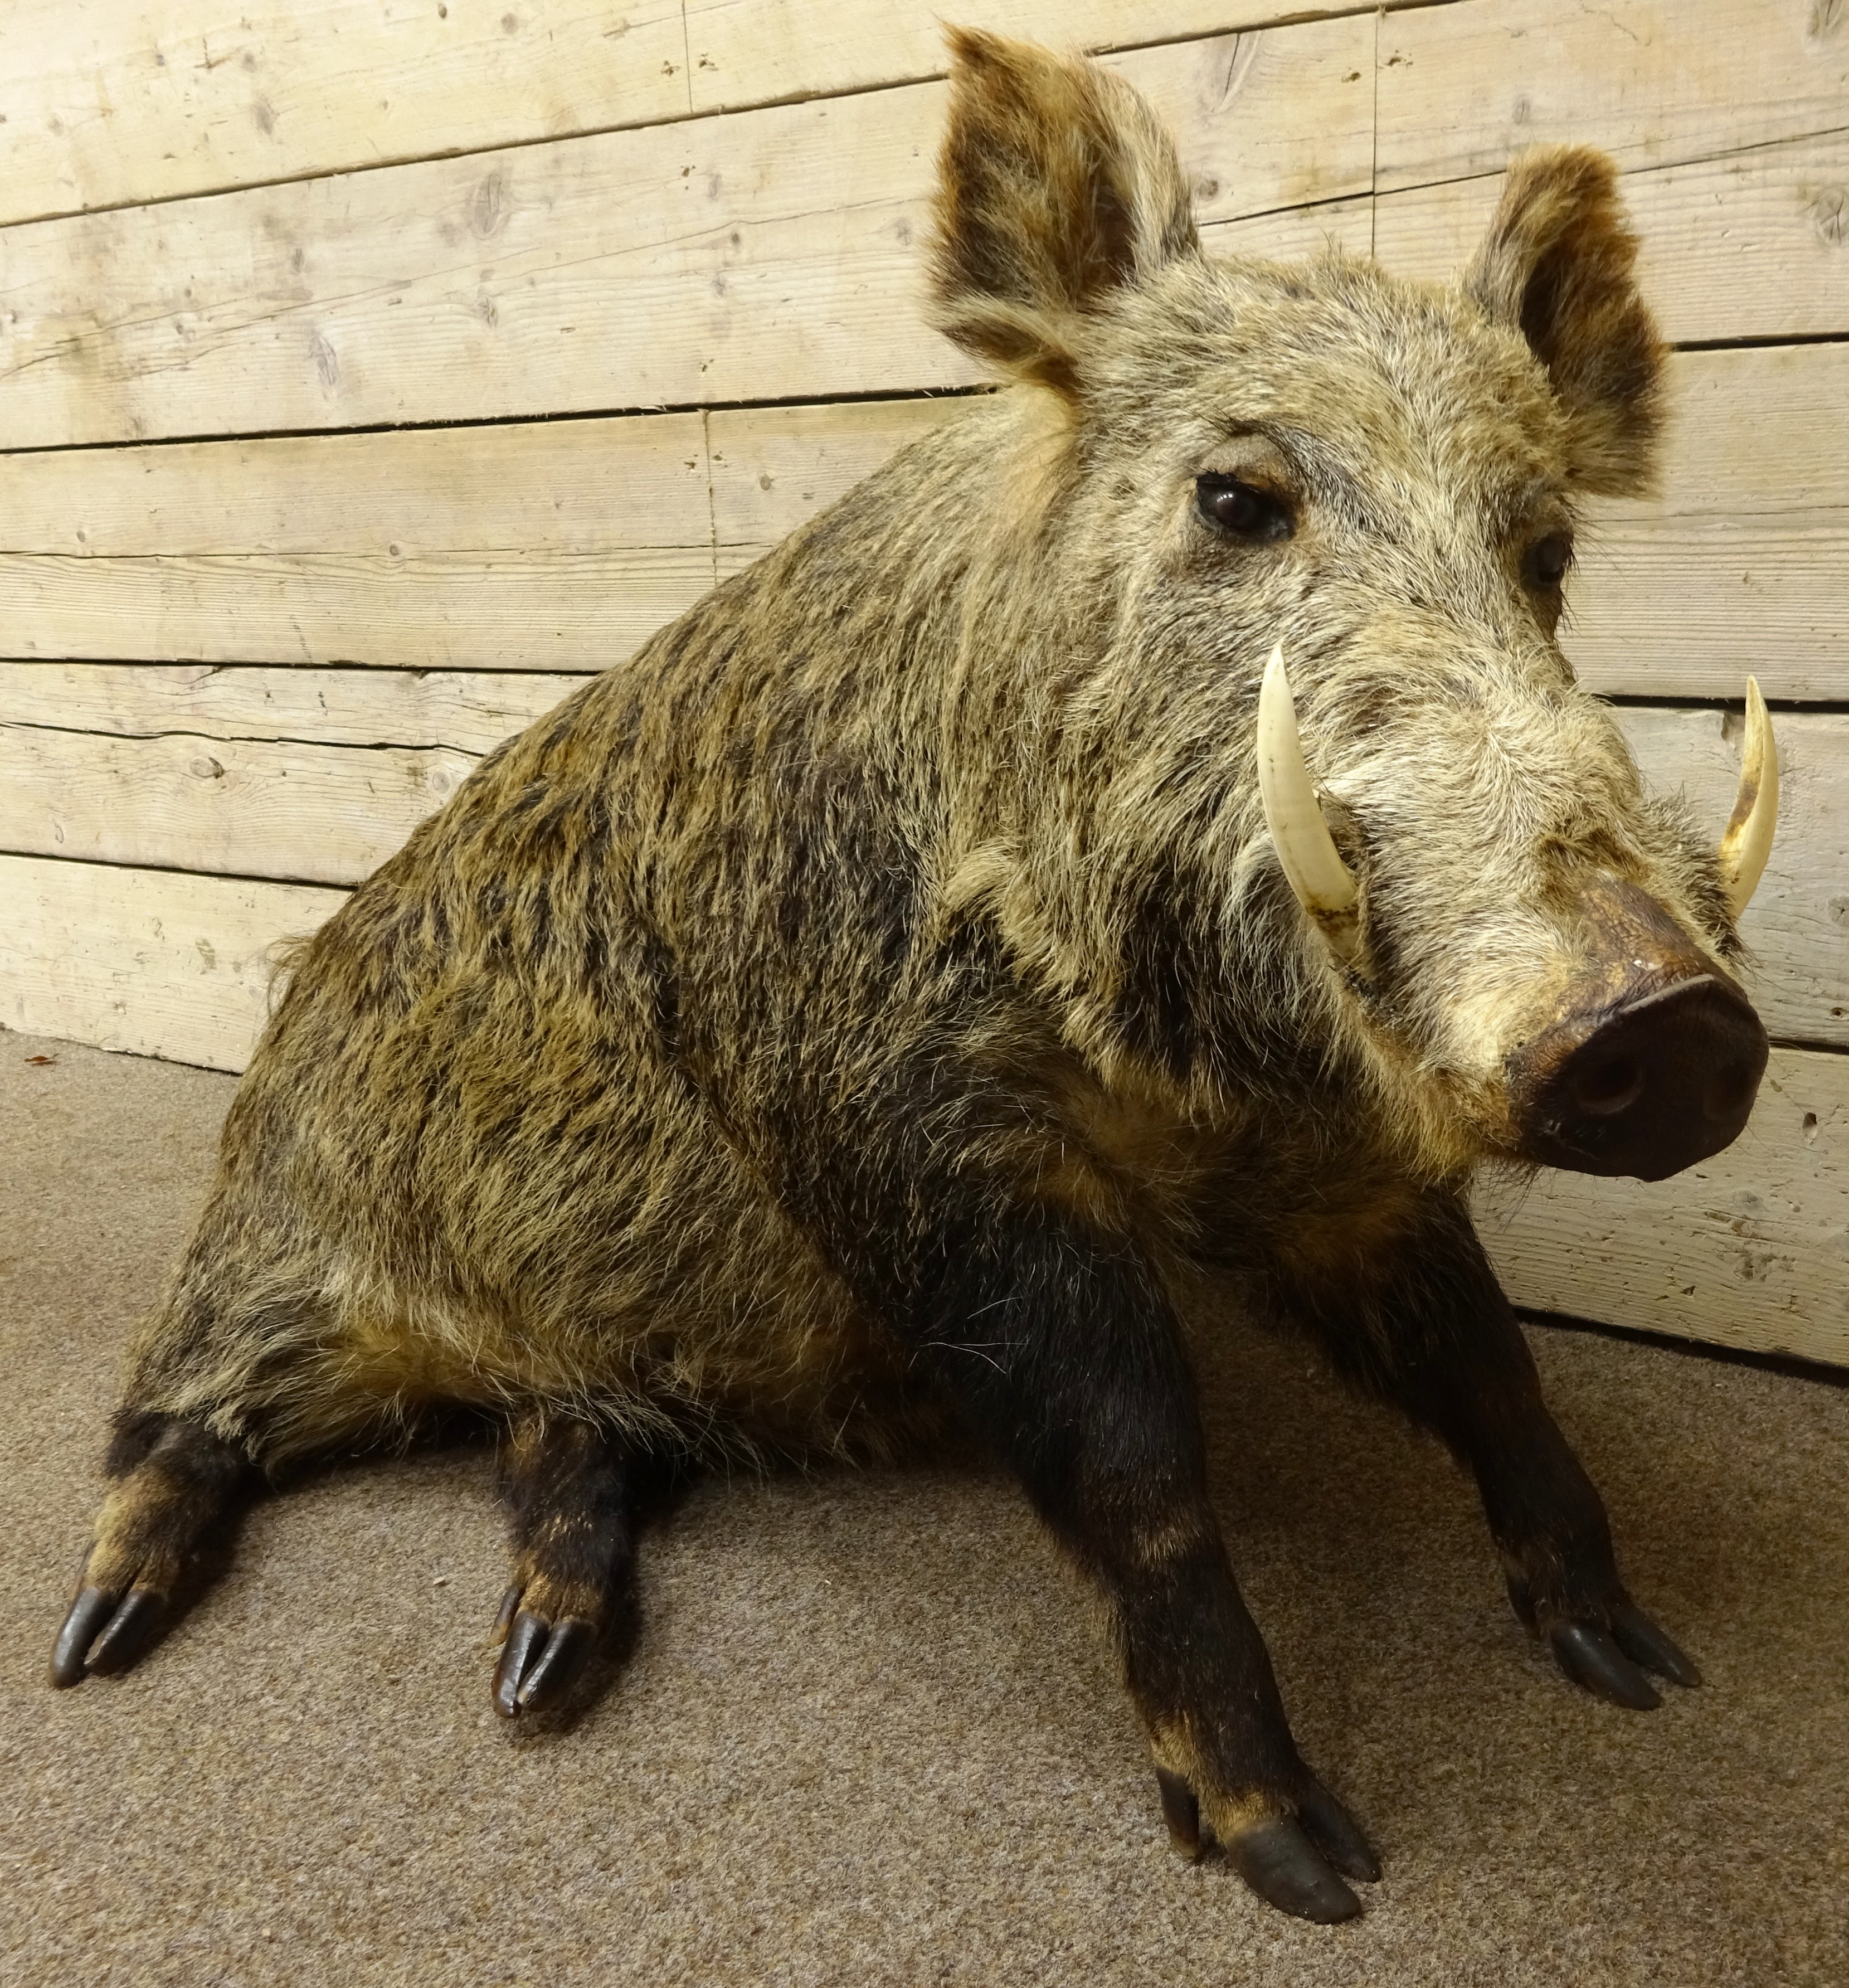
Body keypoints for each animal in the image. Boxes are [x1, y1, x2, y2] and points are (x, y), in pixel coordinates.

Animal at [50, 29, 1778, 1924]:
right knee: (165, 1421)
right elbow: (1129, 1457)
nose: (1672, 1014)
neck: (1161, 1064)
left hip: (623, 1359)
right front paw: (1306, 1862)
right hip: (261, 1247)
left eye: (1541, 553)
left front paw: (1638, 1663)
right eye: (1236, 497)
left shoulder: (1320, 1161)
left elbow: (1486, 1362)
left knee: (564, 1443)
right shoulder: (901, 1138)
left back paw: (541, 1674)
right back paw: (98, 1641)